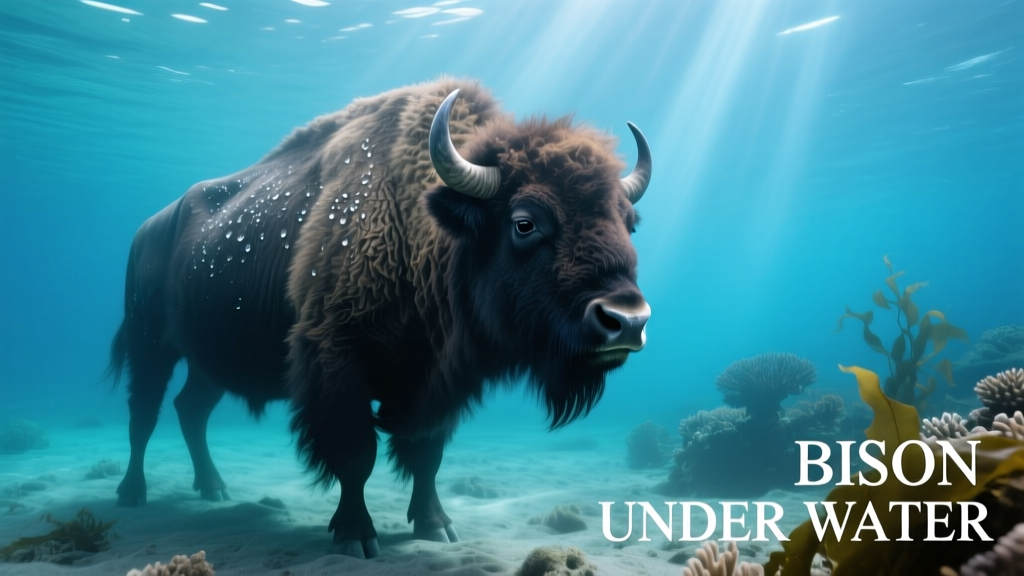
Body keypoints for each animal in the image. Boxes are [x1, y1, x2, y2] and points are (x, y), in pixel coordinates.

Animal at [109, 79, 652, 558]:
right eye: (525, 222)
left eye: (628, 222)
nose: (626, 319)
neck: (424, 227)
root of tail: (148, 227)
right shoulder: (337, 361)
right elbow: (356, 455)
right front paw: (355, 536)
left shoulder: (436, 381)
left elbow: (426, 455)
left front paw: (436, 526)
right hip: (150, 347)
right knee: (144, 414)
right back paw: (133, 494)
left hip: (211, 359)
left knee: (191, 409)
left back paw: (213, 488)